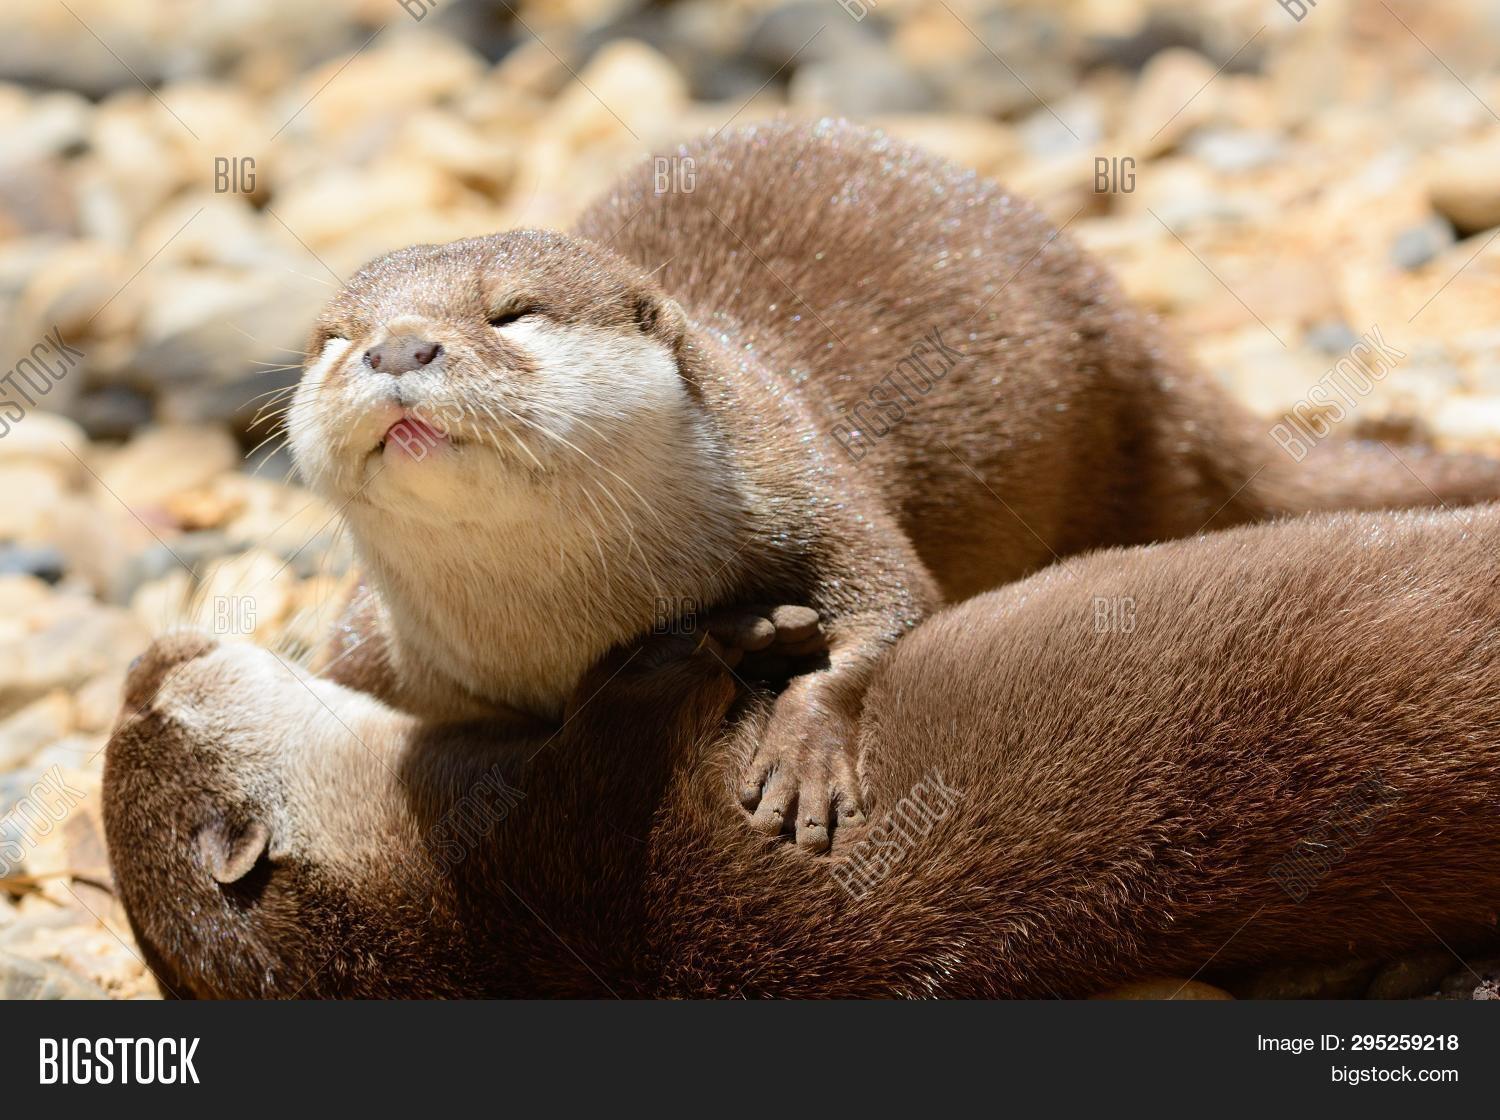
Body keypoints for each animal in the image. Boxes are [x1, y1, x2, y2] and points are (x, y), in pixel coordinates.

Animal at [287, 118, 1500, 849]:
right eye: (331, 338)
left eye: (511, 312)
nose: (397, 346)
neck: (552, 626)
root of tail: (1128, 332)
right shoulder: (383, 649)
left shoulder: (803, 474)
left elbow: (894, 600)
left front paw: (801, 753)